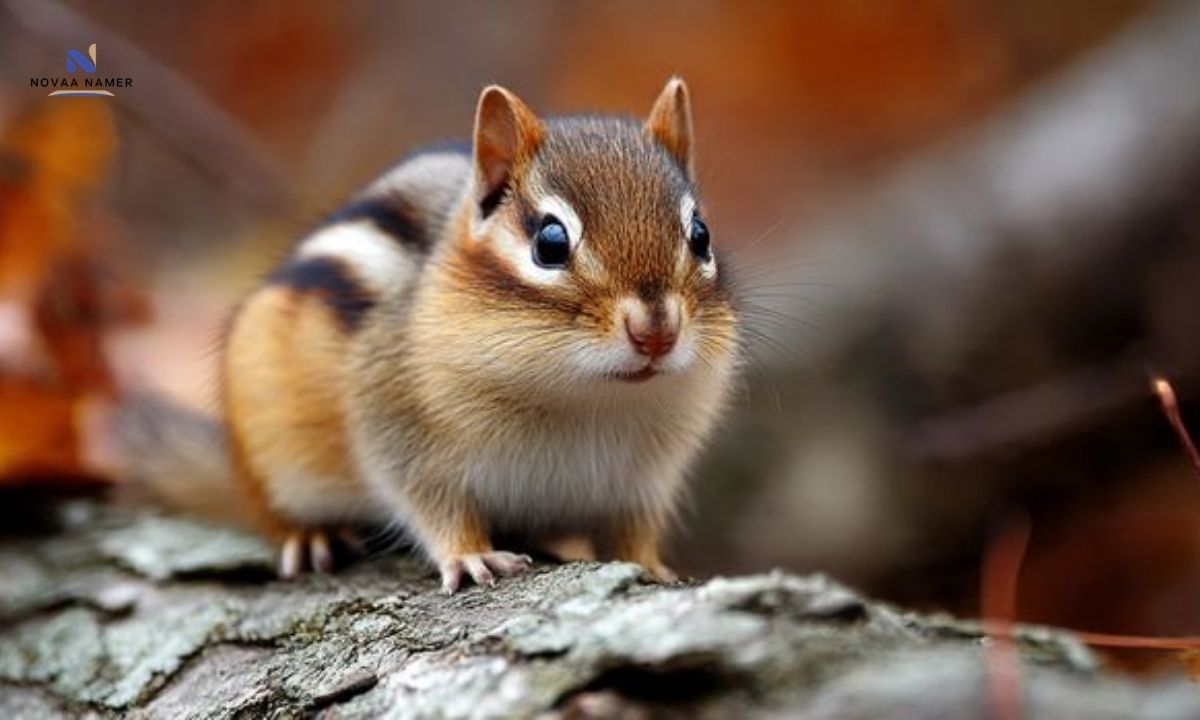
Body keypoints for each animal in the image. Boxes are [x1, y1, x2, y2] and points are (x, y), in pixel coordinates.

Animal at [118, 78, 740, 593]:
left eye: (701, 235)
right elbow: (433, 505)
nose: (656, 331)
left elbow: (632, 533)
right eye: (550, 243)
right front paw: (469, 555)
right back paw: (309, 535)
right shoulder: (398, 429)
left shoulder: (643, 483)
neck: (588, 399)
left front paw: (653, 566)